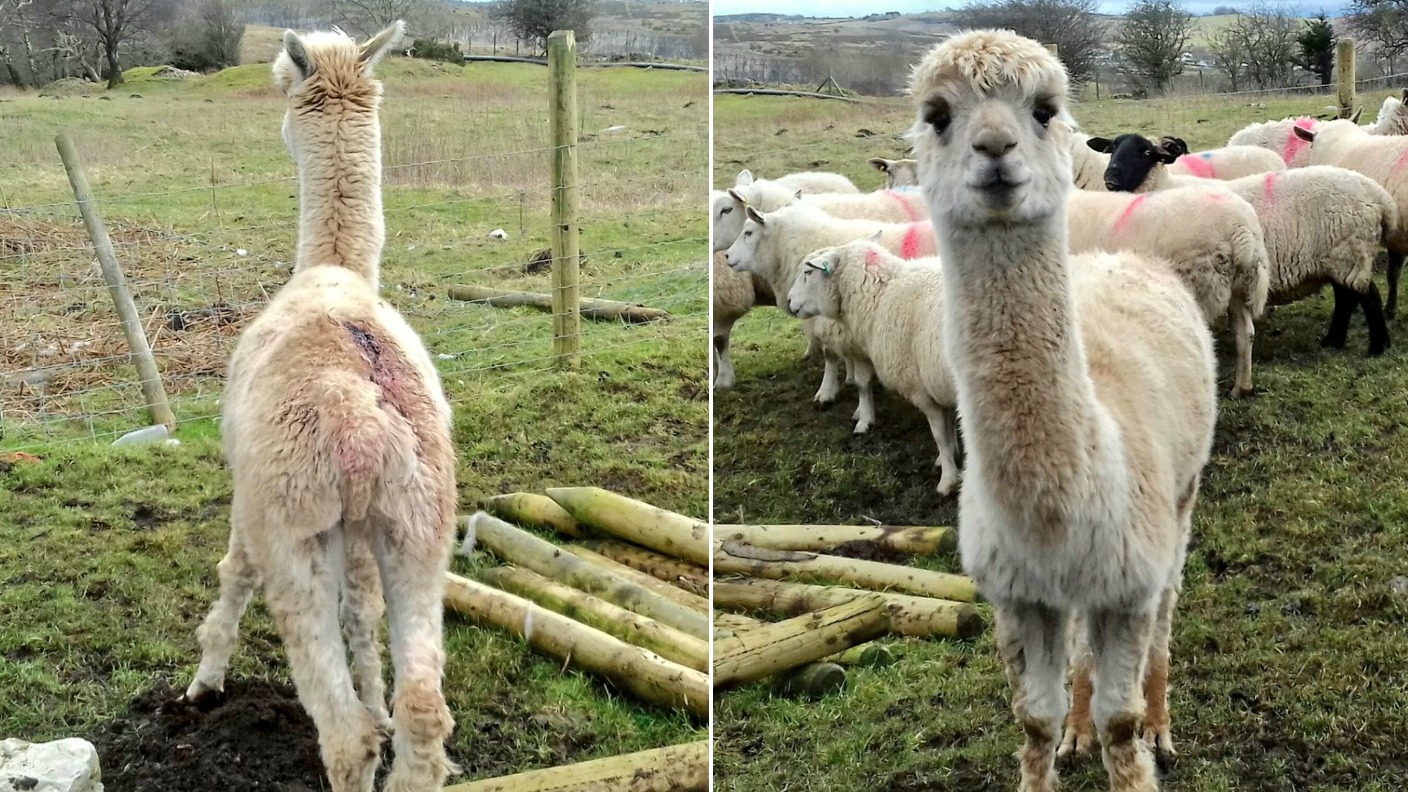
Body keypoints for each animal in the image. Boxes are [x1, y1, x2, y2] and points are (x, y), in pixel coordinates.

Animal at [183, 22, 457, 792]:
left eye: (282, 86)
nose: (279, 128)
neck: (330, 270)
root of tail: (363, 425)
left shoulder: (250, 494)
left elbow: (234, 571)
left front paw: (203, 682)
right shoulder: (363, 534)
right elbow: (362, 610)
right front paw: (376, 695)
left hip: (297, 526)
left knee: (344, 737)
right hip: (419, 526)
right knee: (425, 711)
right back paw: (400, 728)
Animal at [724, 200, 940, 431]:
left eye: (748, 232)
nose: (727, 256)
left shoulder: (843, 329)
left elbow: (836, 359)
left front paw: (830, 394)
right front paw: (849, 384)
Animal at [786, 239, 962, 495]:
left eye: (808, 272)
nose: (789, 302)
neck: (881, 296)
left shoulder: (920, 387)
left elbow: (939, 435)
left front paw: (947, 480)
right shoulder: (936, 383)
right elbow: (948, 427)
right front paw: (949, 457)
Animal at [908, 29, 1217, 791]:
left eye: (1044, 109)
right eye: (937, 115)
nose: (994, 148)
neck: (1055, 511)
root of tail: (1124, 259)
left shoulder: (1129, 583)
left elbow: (1122, 725)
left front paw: (1139, 742)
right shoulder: (1019, 595)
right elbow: (1034, 721)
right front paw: (1063, 734)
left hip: (1182, 499)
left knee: (1169, 610)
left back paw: (1163, 722)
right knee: (1080, 655)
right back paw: (1079, 728)